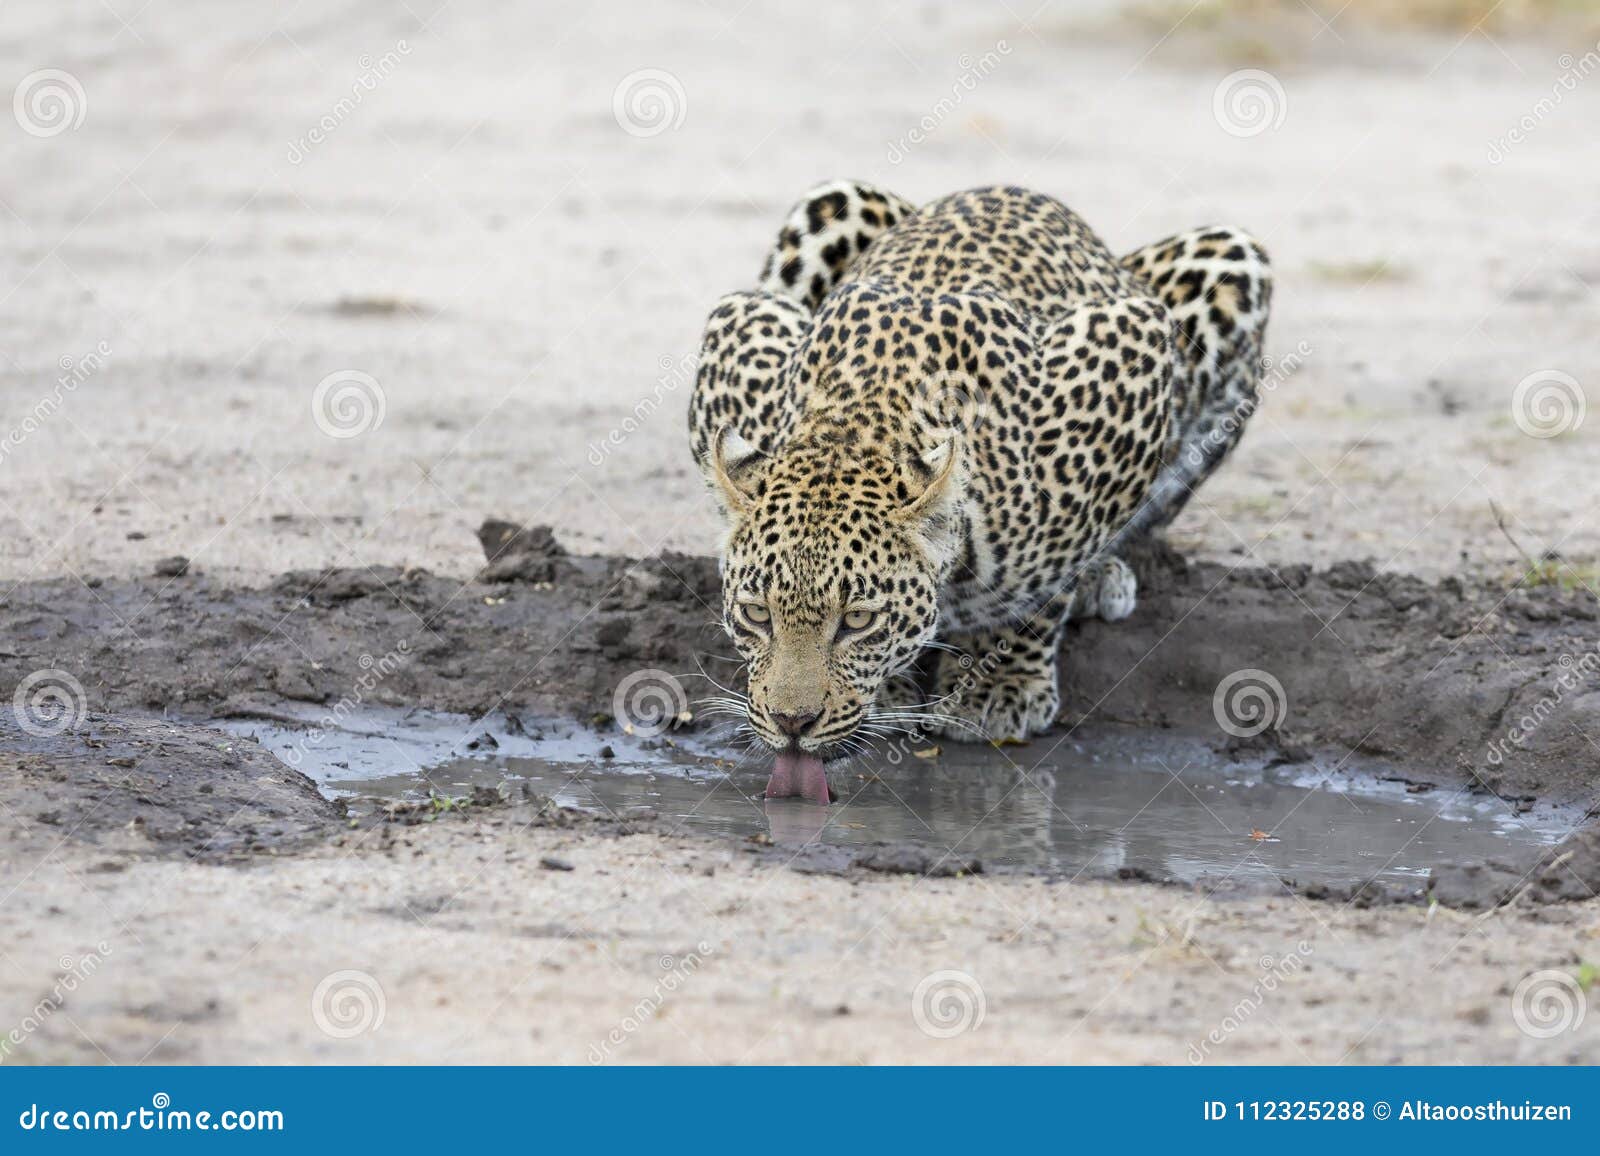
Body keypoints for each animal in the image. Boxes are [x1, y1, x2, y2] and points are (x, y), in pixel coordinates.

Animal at [688, 181, 1271, 801]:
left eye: (858, 622)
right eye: (756, 615)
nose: (791, 723)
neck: (859, 425)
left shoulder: (1132, 348)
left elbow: (1044, 586)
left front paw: (1002, 681)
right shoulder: (736, 324)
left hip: (1231, 258)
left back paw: (1099, 578)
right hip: (835, 199)